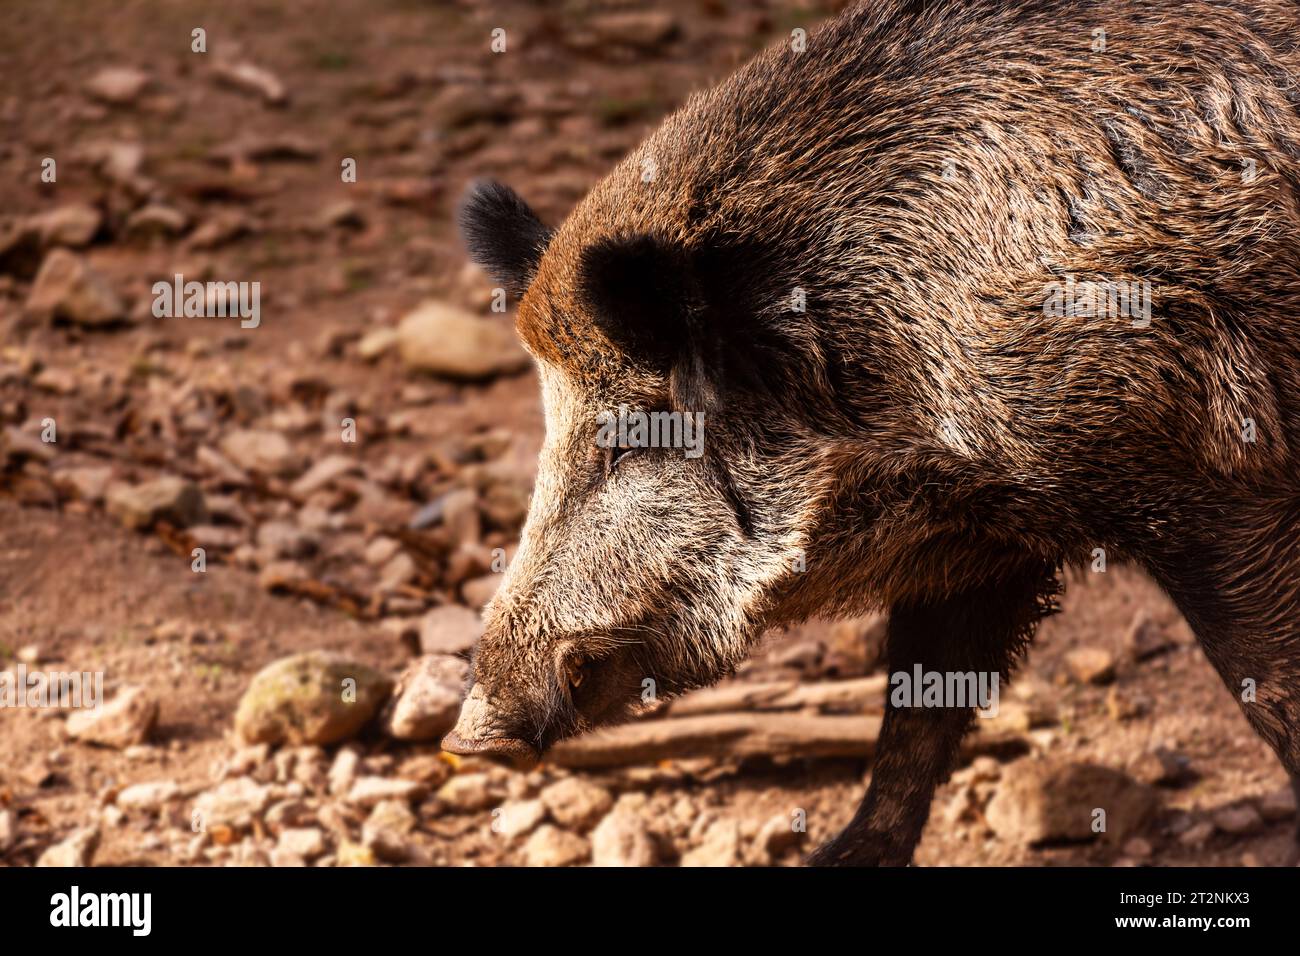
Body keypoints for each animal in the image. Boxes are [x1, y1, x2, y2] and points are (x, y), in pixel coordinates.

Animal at [443, 0, 1300, 865]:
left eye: (629, 437)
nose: (466, 736)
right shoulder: (983, 542)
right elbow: (917, 710)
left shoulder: (1217, 490)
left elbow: (1272, 696)